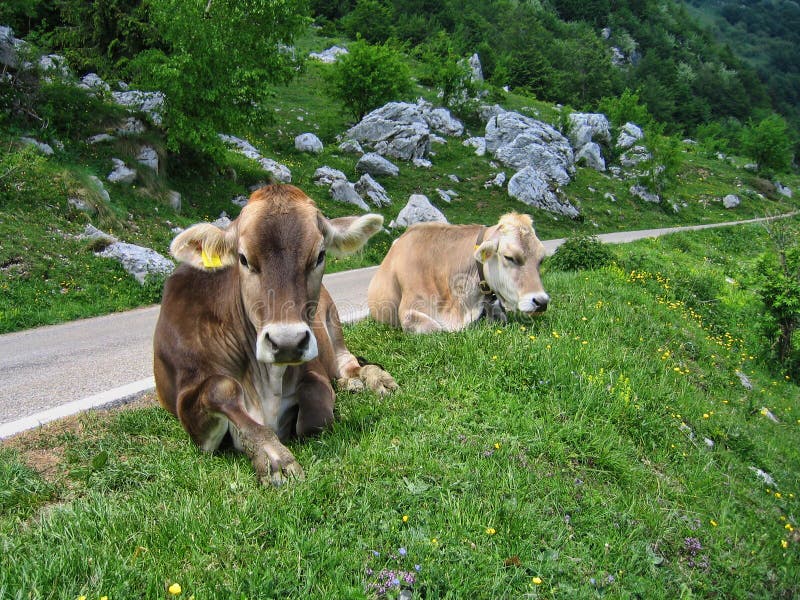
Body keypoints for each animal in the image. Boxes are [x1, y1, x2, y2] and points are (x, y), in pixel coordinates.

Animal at [154, 184, 397, 486]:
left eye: (320, 255)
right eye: (243, 258)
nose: (287, 343)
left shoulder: (313, 369)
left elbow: (315, 417)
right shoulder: (190, 402)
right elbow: (220, 389)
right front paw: (273, 456)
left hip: (333, 324)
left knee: (349, 363)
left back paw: (374, 379)